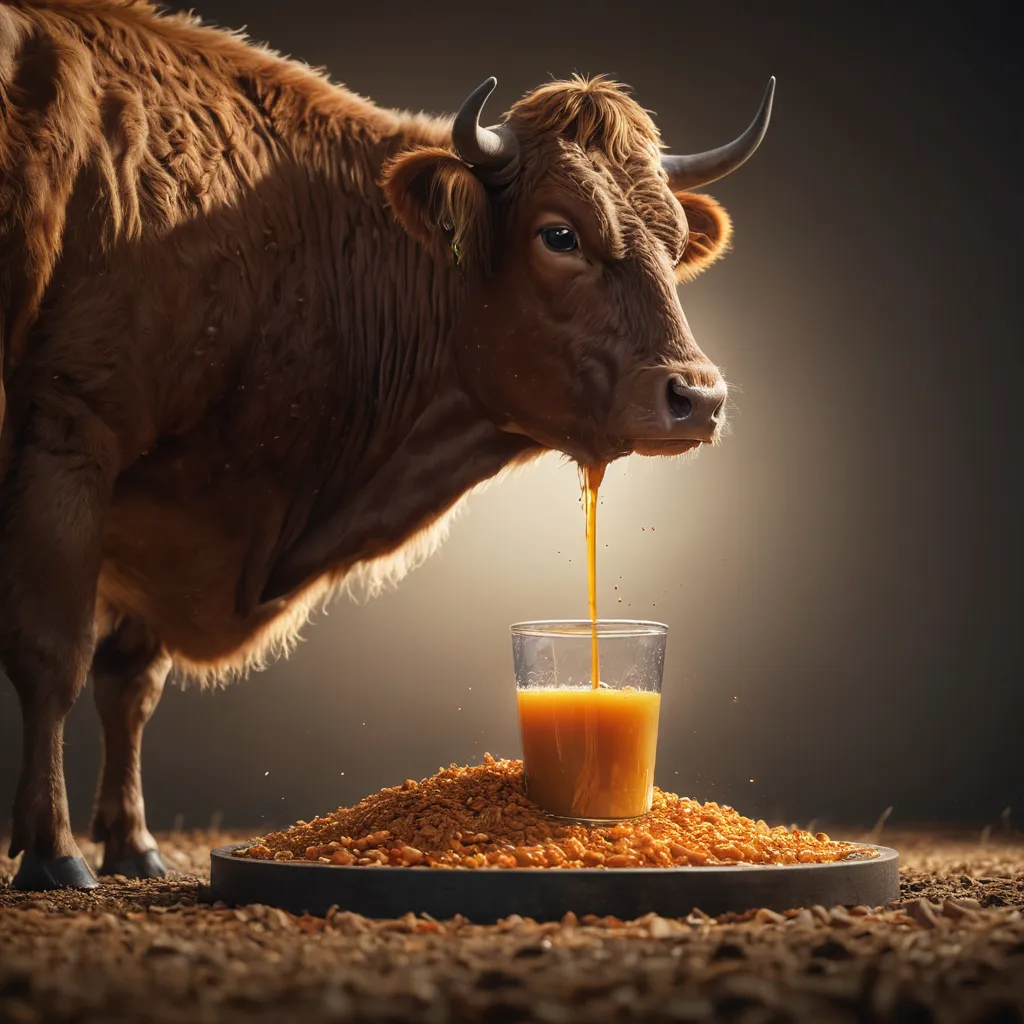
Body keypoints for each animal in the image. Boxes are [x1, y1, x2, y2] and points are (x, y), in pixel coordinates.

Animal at [0, 0, 774, 891]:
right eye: (559, 233)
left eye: (675, 243)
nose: (698, 396)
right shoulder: (70, 433)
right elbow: (53, 655)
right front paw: (53, 849)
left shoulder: (162, 506)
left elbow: (129, 679)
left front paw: (131, 842)